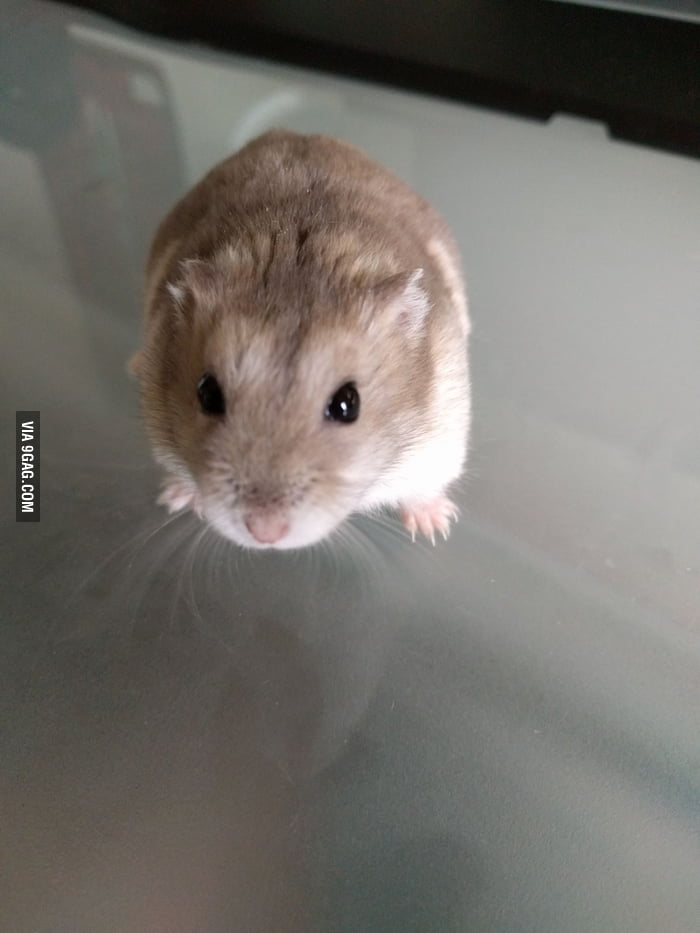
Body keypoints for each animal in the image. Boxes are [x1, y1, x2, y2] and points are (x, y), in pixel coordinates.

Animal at [132, 130, 471, 550]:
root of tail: (297, 133)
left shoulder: (441, 437)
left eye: (348, 405)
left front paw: (436, 528)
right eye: (207, 394)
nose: (264, 533)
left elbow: (424, 488)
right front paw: (174, 499)